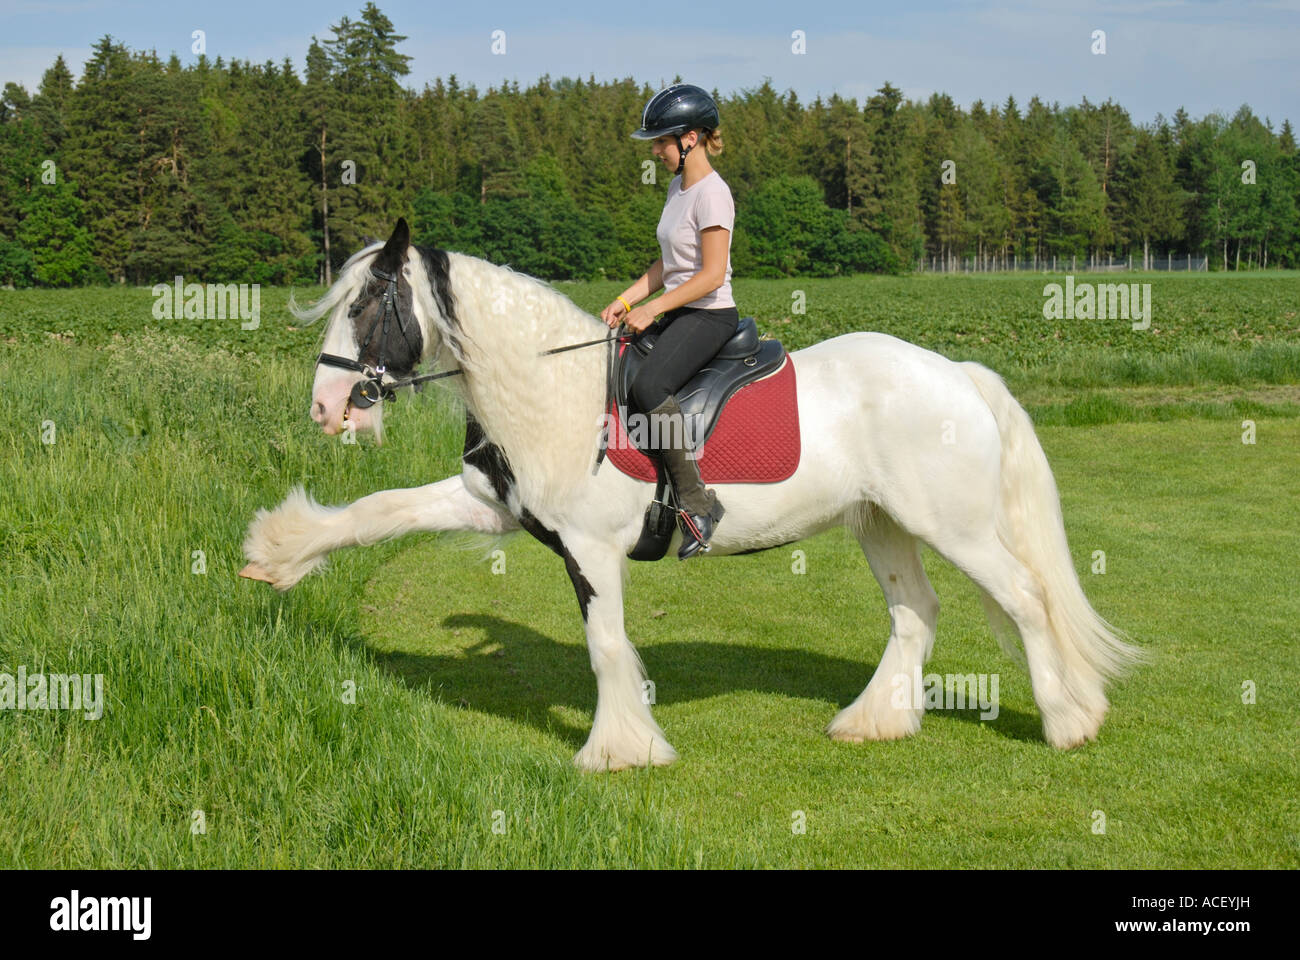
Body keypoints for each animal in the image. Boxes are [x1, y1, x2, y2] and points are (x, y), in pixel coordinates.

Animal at [239, 219, 1140, 772]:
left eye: (367, 303)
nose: (326, 407)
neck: (550, 389)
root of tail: (957, 370)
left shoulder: (590, 549)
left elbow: (606, 645)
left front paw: (619, 749)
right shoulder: (492, 504)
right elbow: (377, 513)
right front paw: (275, 554)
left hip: (955, 525)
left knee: (1024, 598)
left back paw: (1068, 721)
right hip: (882, 523)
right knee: (917, 611)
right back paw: (875, 720)